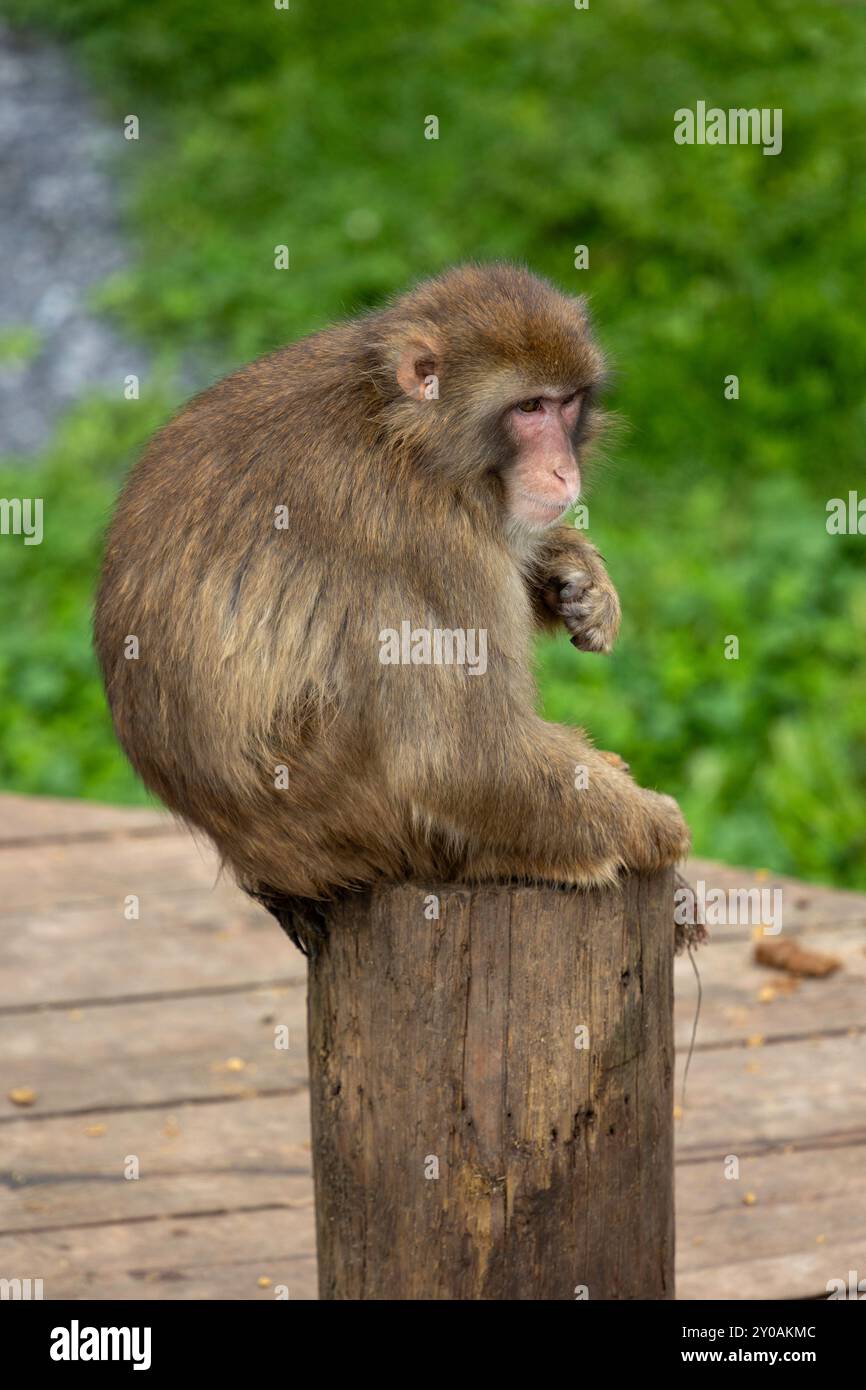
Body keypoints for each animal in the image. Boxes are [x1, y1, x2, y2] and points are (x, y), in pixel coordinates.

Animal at [95, 262, 701, 953]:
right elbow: (462, 757)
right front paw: (655, 826)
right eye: (529, 407)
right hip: (344, 815)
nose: (563, 473)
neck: (404, 431)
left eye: (567, 402)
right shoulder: (423, 534)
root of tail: (255, 863)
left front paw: (576, 577)